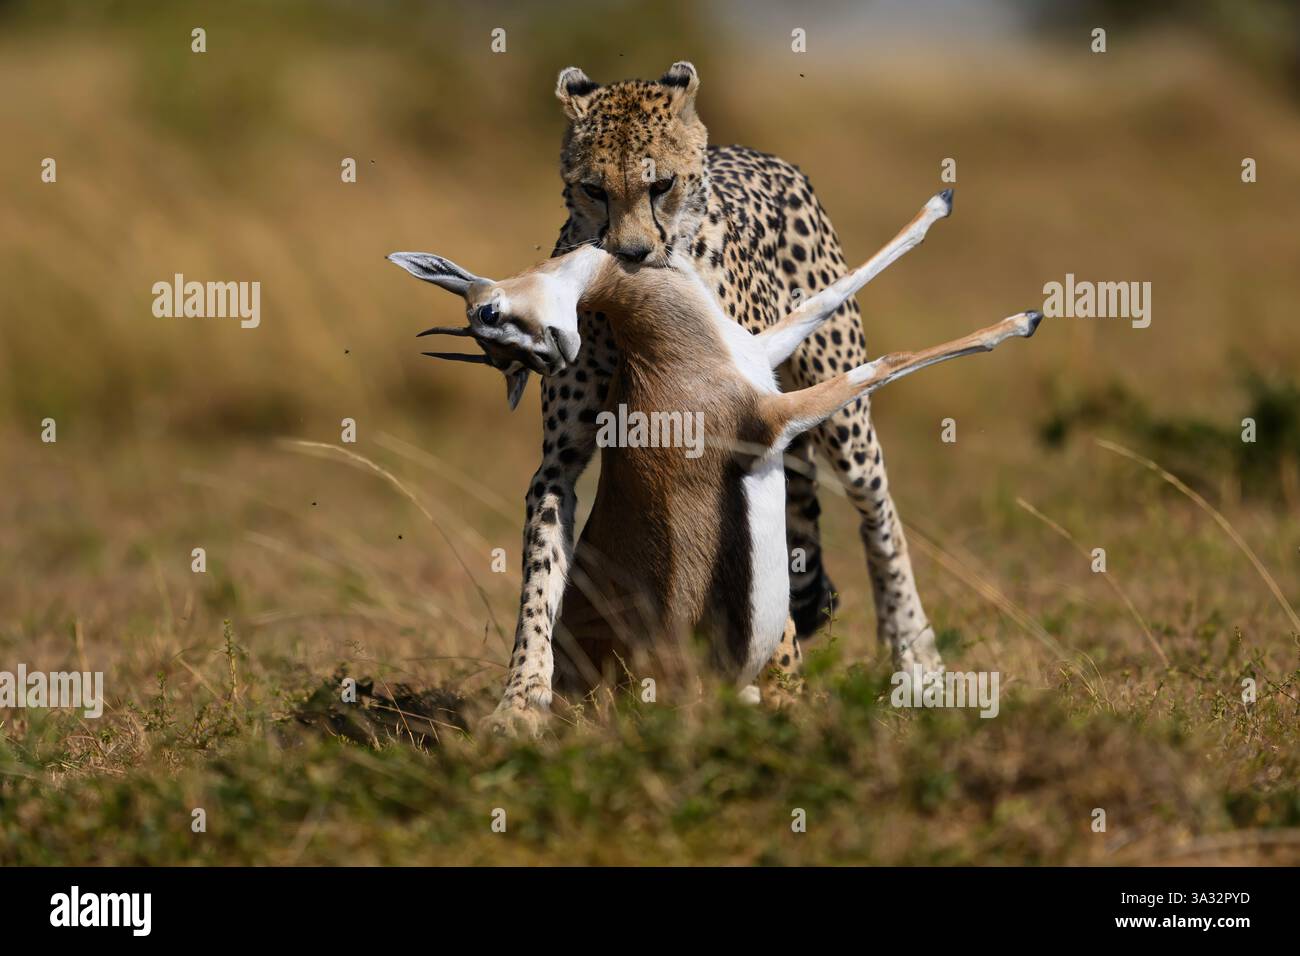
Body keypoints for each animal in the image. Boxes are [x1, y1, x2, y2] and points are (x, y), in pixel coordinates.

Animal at [389, 191, 1043, 732]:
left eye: (491, 320)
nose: (553, 357)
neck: (657, 336)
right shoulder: (777, 415)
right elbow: (888, 361)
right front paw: (1022, 320)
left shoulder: (763, 349)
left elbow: (832, 293)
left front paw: (940, 205)